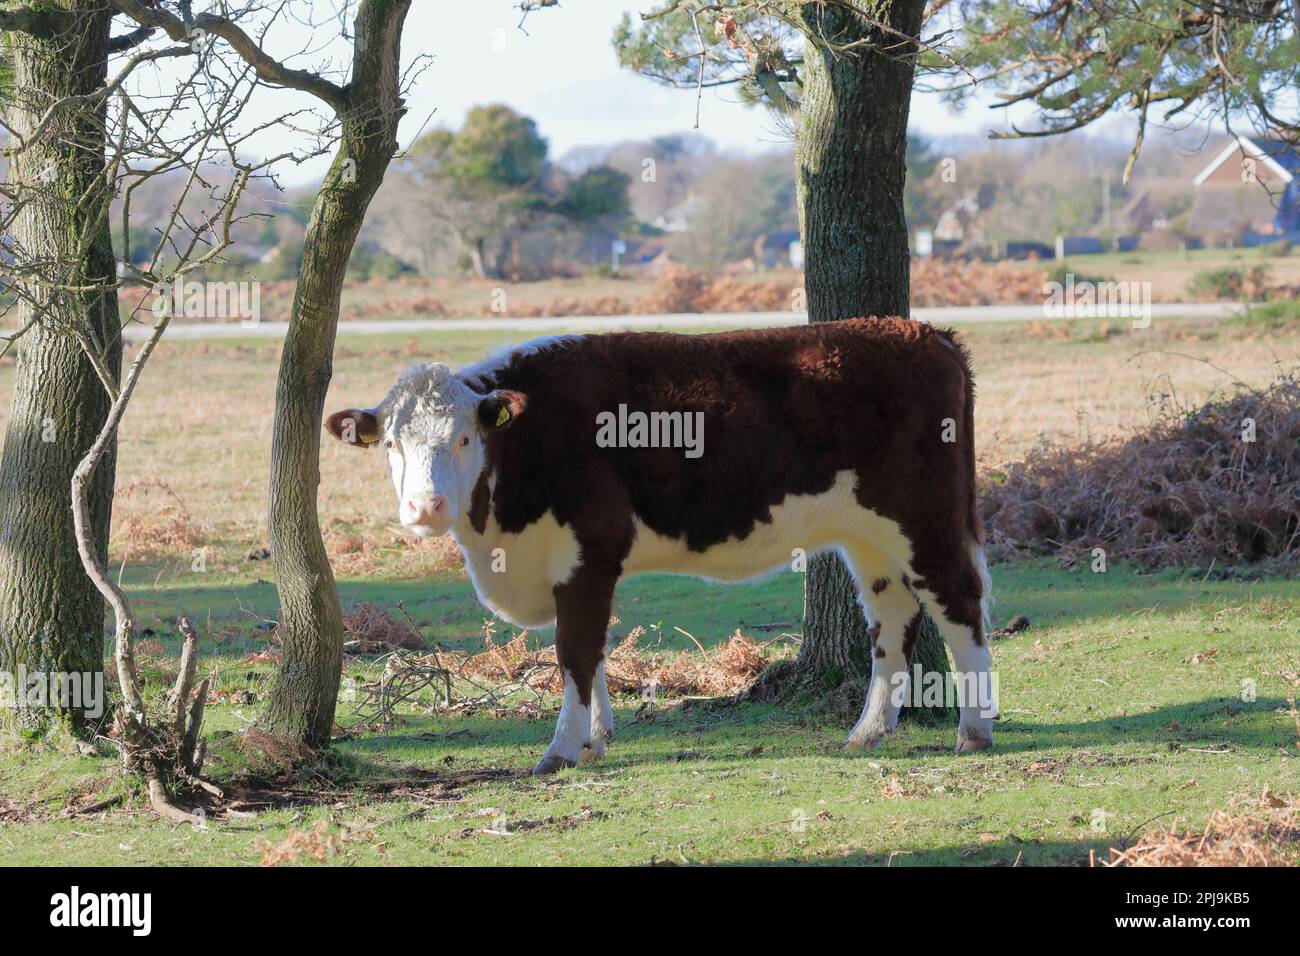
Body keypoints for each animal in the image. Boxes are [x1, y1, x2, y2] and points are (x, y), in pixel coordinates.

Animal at [325, 318, 995, 774]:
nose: (425, 508)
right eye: (391, 444)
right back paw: (869, 730)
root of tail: (923, 332)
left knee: (962, 608)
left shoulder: (588, 551)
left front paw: (561, 750)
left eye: (465, 438)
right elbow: (592, 652)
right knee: (893, 620)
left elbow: (574, 650)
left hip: (926, 518)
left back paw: (974, 729)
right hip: (869, 536)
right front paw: (595, 739)